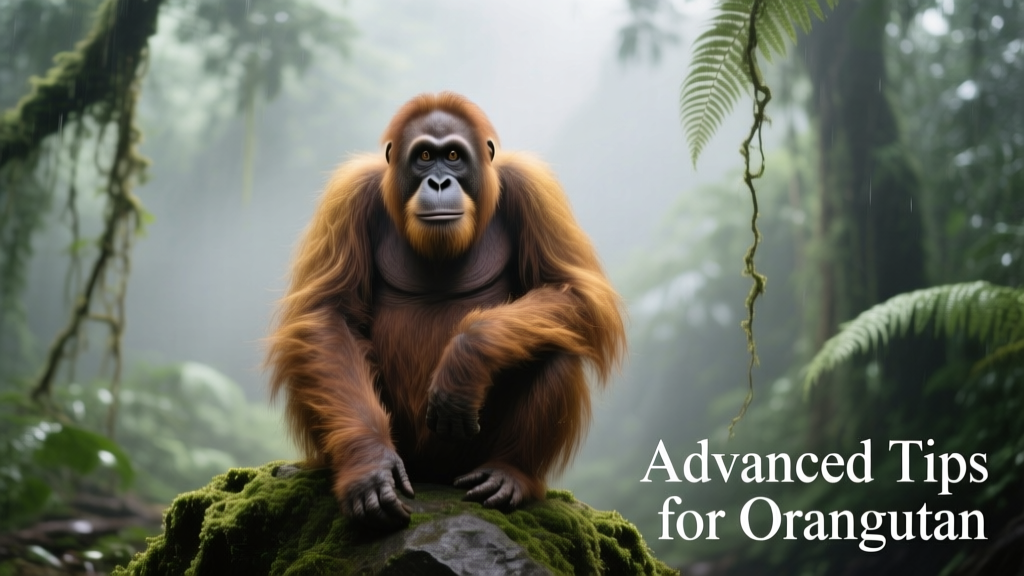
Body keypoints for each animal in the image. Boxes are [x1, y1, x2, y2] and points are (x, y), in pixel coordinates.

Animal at [266, 92, 625, 530]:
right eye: (424, 156)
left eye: (453, 155)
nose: (438, 182)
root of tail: (433, 475)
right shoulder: (349, 194)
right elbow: (328, 315)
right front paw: (369, 467)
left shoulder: (532, 187)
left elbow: (576, 292)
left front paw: (463, 363)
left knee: (557, 347)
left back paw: (509, 473)